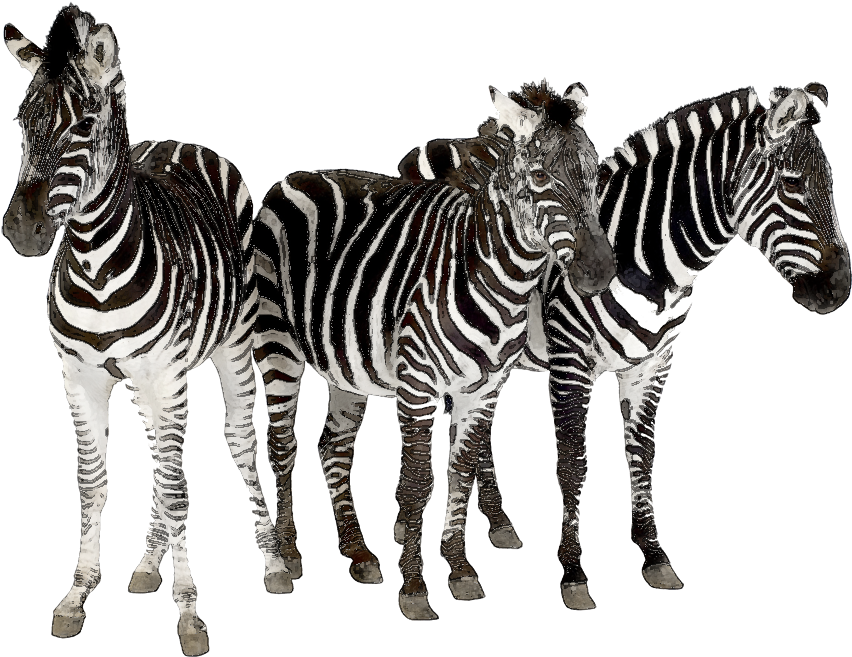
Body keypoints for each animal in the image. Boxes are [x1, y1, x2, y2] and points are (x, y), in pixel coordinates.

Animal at [2, 6, 294, 653]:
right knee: (162, 459)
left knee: (237, 441)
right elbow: (94, 485)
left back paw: (275, 564)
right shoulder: (81, 377)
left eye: (85, 124)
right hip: (147, 383)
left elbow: (180, 489)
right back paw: (145, 565)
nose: (23, 231)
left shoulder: (166, 374)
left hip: (231, 349)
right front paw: (77, 595)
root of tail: (181, 140)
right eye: (20, 120)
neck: (96, 266)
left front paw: (188, 613)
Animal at [253, 79, 616, 620]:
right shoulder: (417, 385)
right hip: (277, 347)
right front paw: (414, 588)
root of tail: (298, 174)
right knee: (282, 447)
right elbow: (417, 483)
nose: (599, 272)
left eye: (596, 175)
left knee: (332, 448)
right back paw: (289, 555)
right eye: (539, 175)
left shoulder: (484, 389)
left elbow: (460, 473)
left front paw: (461, 569)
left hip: (347, 364)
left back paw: (358, 552)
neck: (494, 276)